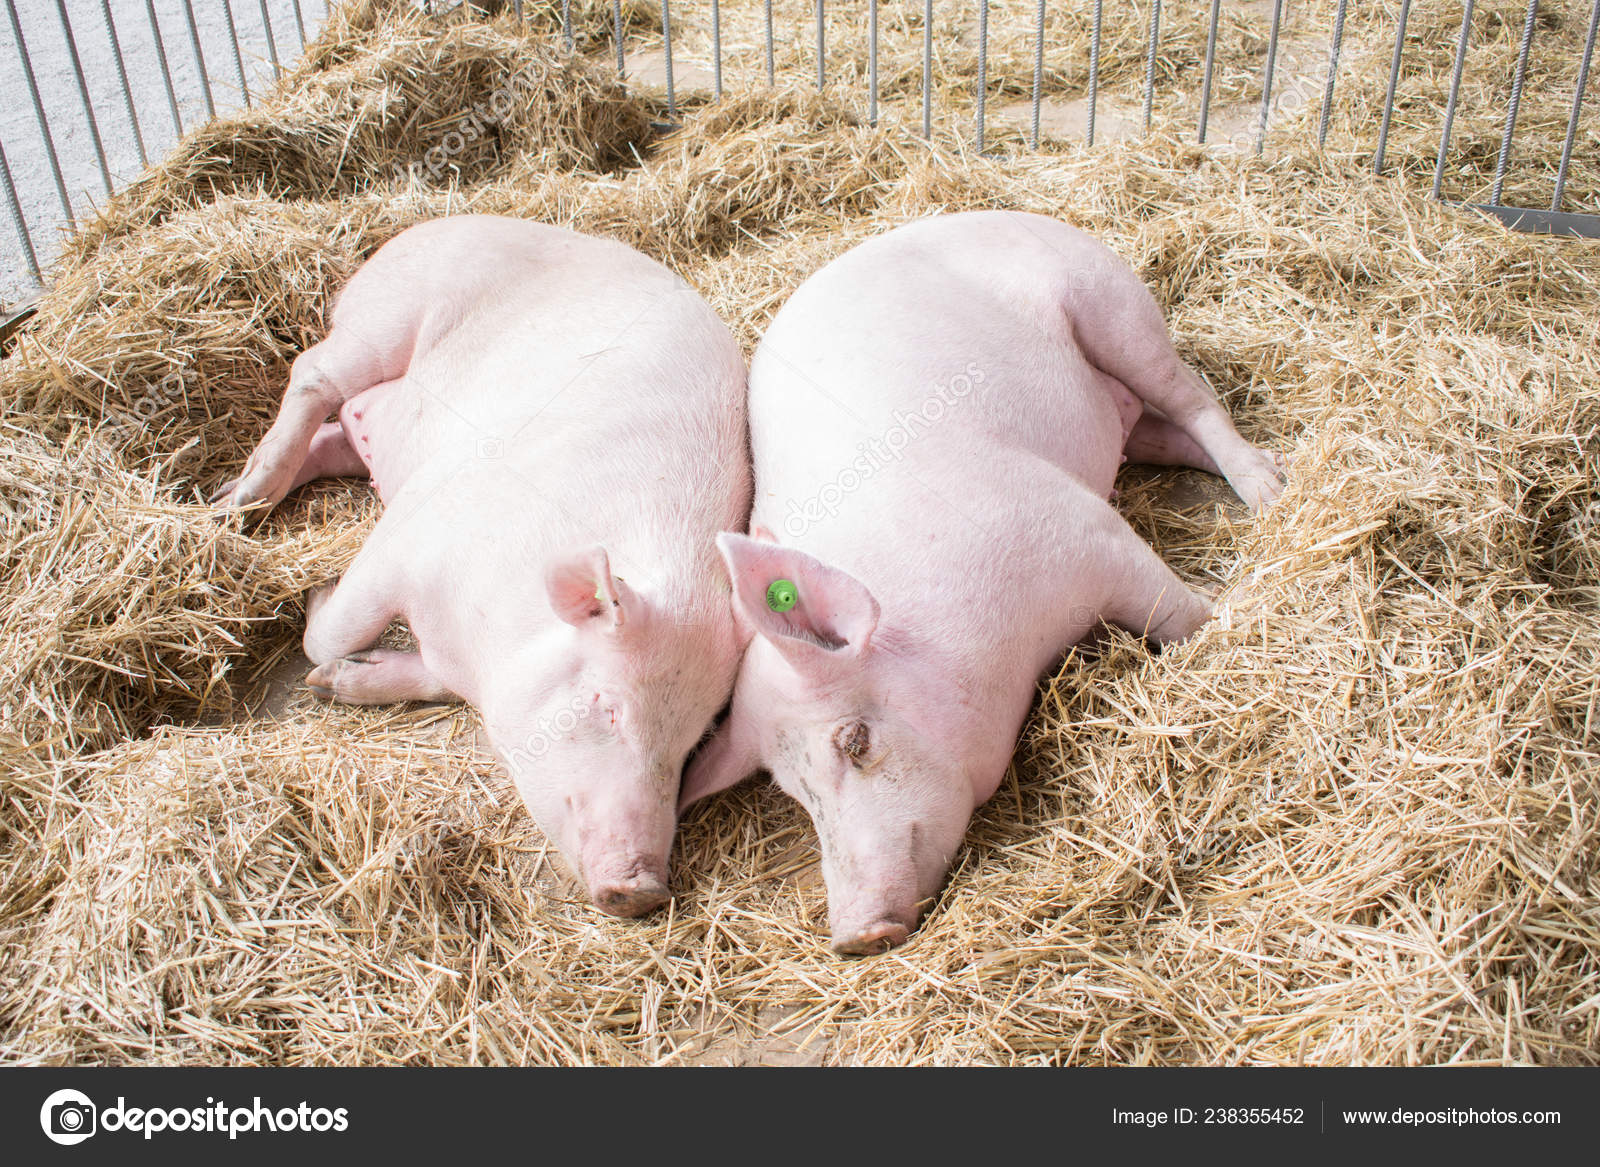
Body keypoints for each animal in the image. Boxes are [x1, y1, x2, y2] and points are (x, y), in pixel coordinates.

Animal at [216, 215, 751, 918]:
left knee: (336, 434)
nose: (642, 889)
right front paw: (316, 604)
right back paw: (238, 501)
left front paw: (337, 683)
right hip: (384, 318)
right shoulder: (412, 534)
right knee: (314, 375)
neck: (484, 648)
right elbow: (331, 631)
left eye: (690, 746)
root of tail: (441, 224)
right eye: (607, 705)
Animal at [679, 210, 1285, 954]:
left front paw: (1223, 622)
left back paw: (1271, 491)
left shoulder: (1080, 527)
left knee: (1193, 396)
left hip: (1113, 303)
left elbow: (1176, 614)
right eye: (797, 794)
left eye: (856, 741)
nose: (858, 932)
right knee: (1165, 431)